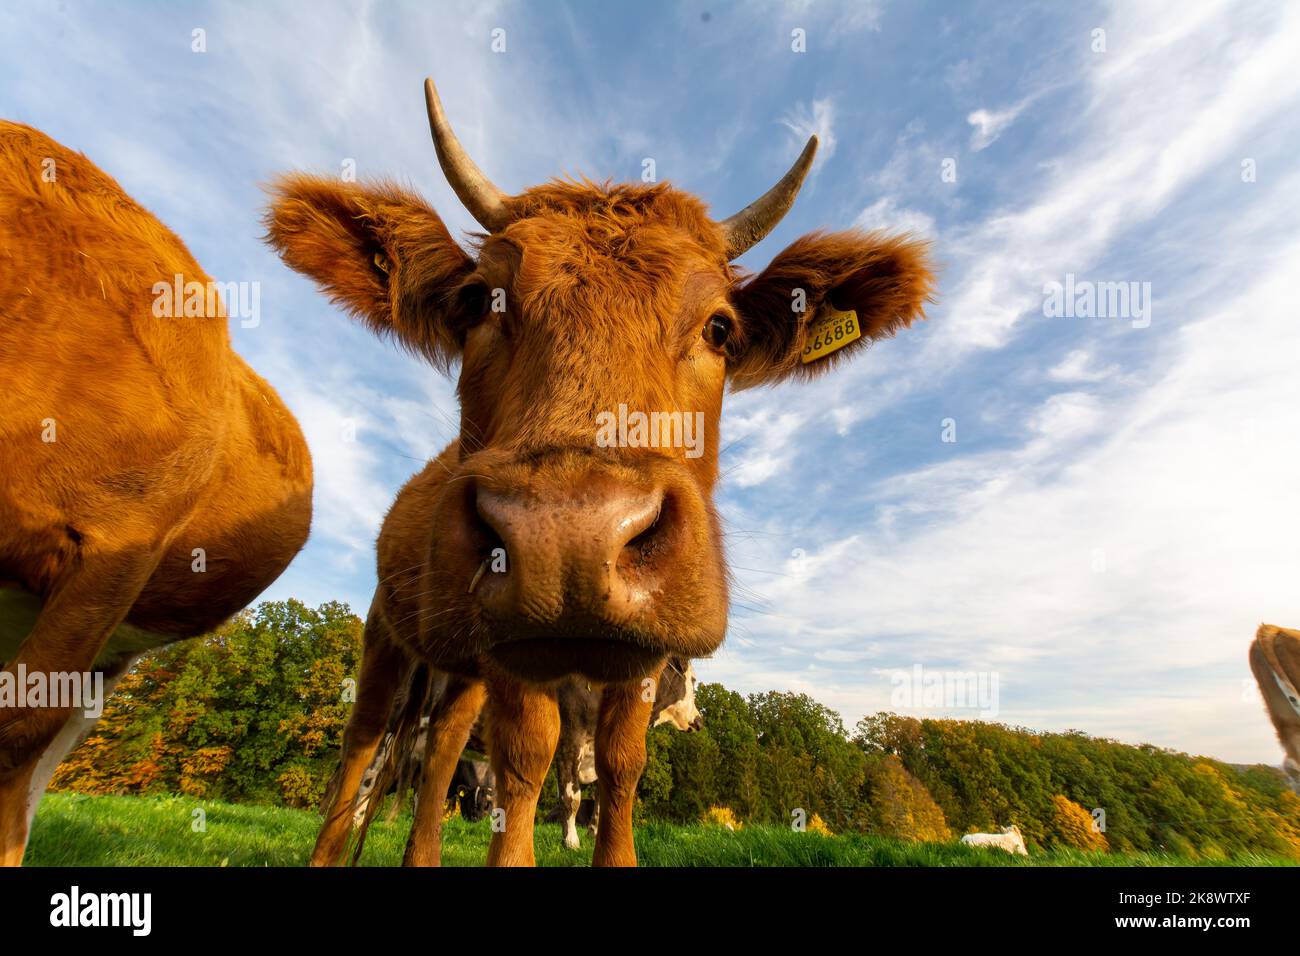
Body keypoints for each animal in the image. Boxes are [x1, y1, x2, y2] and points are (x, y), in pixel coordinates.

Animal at [554, 656, 701, 849]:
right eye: (693, 680)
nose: (699, 720)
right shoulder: (570, 740)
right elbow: (571, 797)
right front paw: (571, 841)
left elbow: (601, 797)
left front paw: (596, 835)